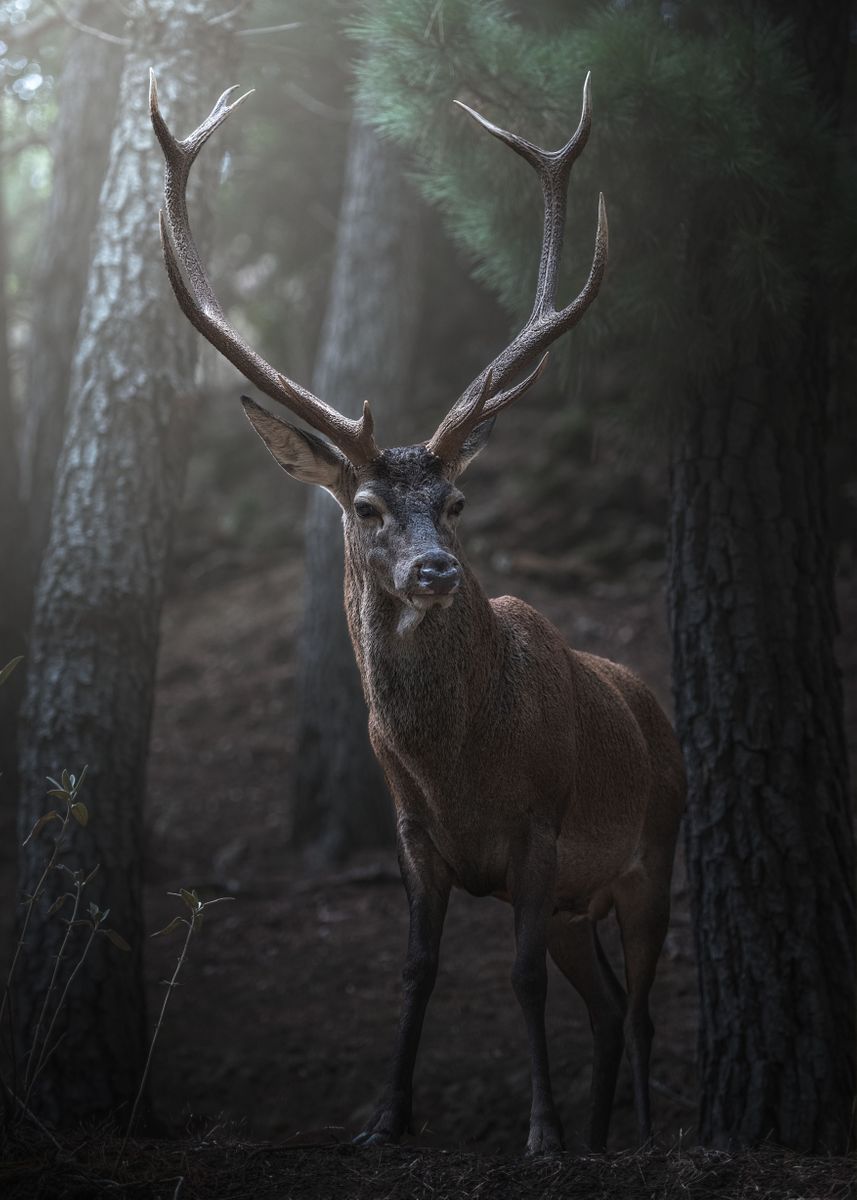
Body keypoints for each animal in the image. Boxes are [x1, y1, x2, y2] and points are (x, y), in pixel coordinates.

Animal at [150, 70, 685, 1156]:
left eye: (458, 502)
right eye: (363, 505)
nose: (436, 569)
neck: (457, 765)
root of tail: (653, 712)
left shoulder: (541, 822)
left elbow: (513, 979)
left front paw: (539, 1135)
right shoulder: (410, 831)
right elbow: (417, 969)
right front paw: (384, 1119)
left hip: (653, 851)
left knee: (645, 1004)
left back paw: (638, 1136)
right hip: (578, 908)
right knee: (609, 1004)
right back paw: (603, 1132)